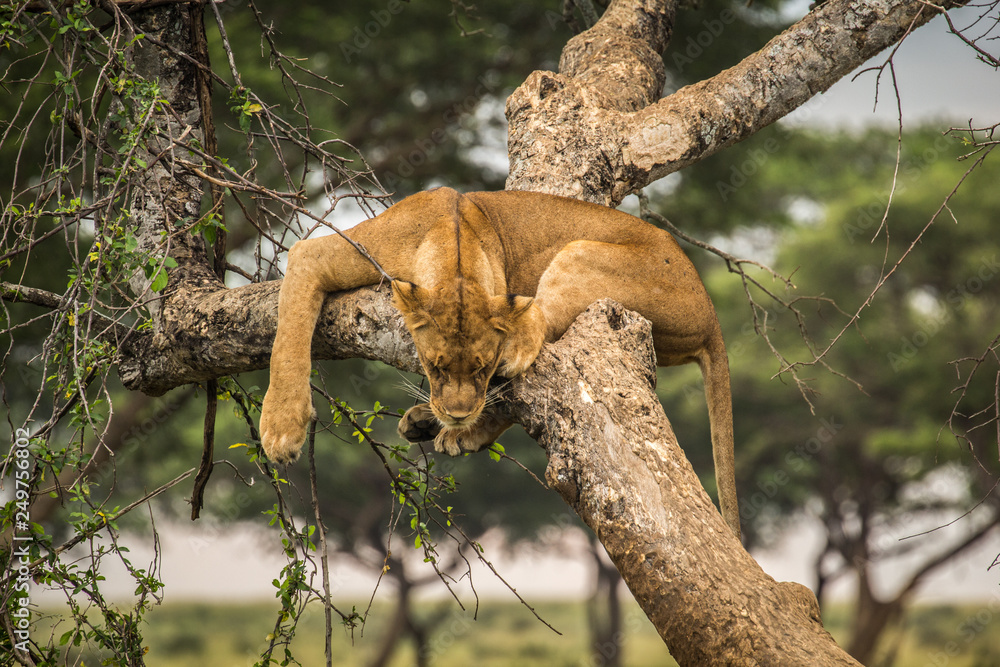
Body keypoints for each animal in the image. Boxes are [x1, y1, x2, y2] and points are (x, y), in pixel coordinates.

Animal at [259, 187, 740, 538]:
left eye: (482, 368)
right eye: (434, 367)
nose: (457, 412)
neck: (453, 243)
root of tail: (711, 312)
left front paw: (279, 430)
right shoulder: (319, 255)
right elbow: (290, 329)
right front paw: (282, 425)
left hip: (581, 254)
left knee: (539, 329)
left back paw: (458, 423)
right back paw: (433, 424)